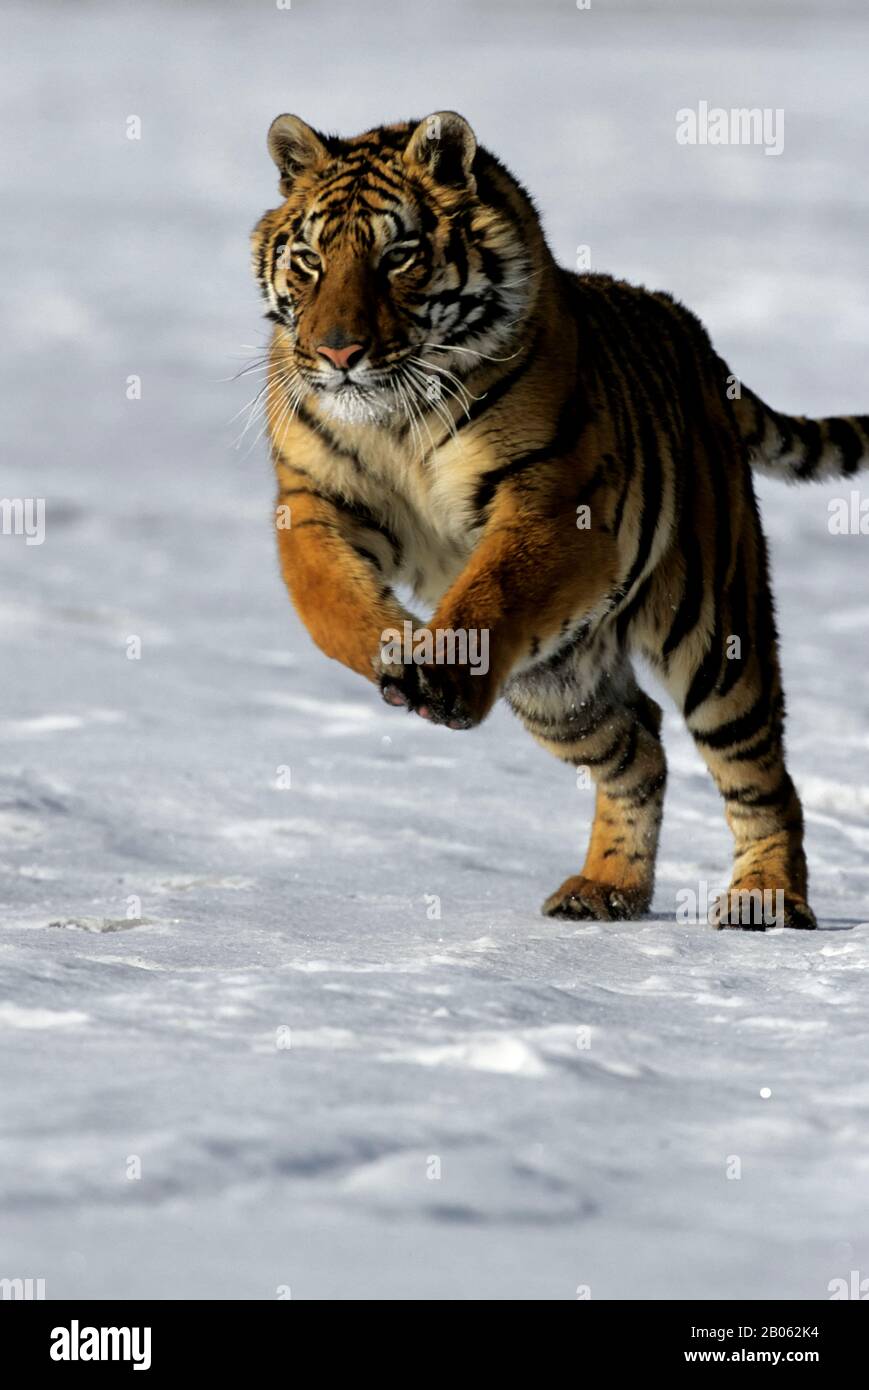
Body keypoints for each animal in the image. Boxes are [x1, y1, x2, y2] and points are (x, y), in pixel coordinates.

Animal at [250, 110, 869, 931]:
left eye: (398, 256)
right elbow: (325, 599)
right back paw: (606, 888)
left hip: (712, 635)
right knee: (639, 744)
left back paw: (765, 899)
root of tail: (698, 340)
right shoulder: (315, 500)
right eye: (311, 260)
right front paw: (393, 649)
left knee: (761, 774)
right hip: (559, 687)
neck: (396, 419)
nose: (337, 351)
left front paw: (444, 668)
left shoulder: (551, 503)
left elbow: (492, 592)